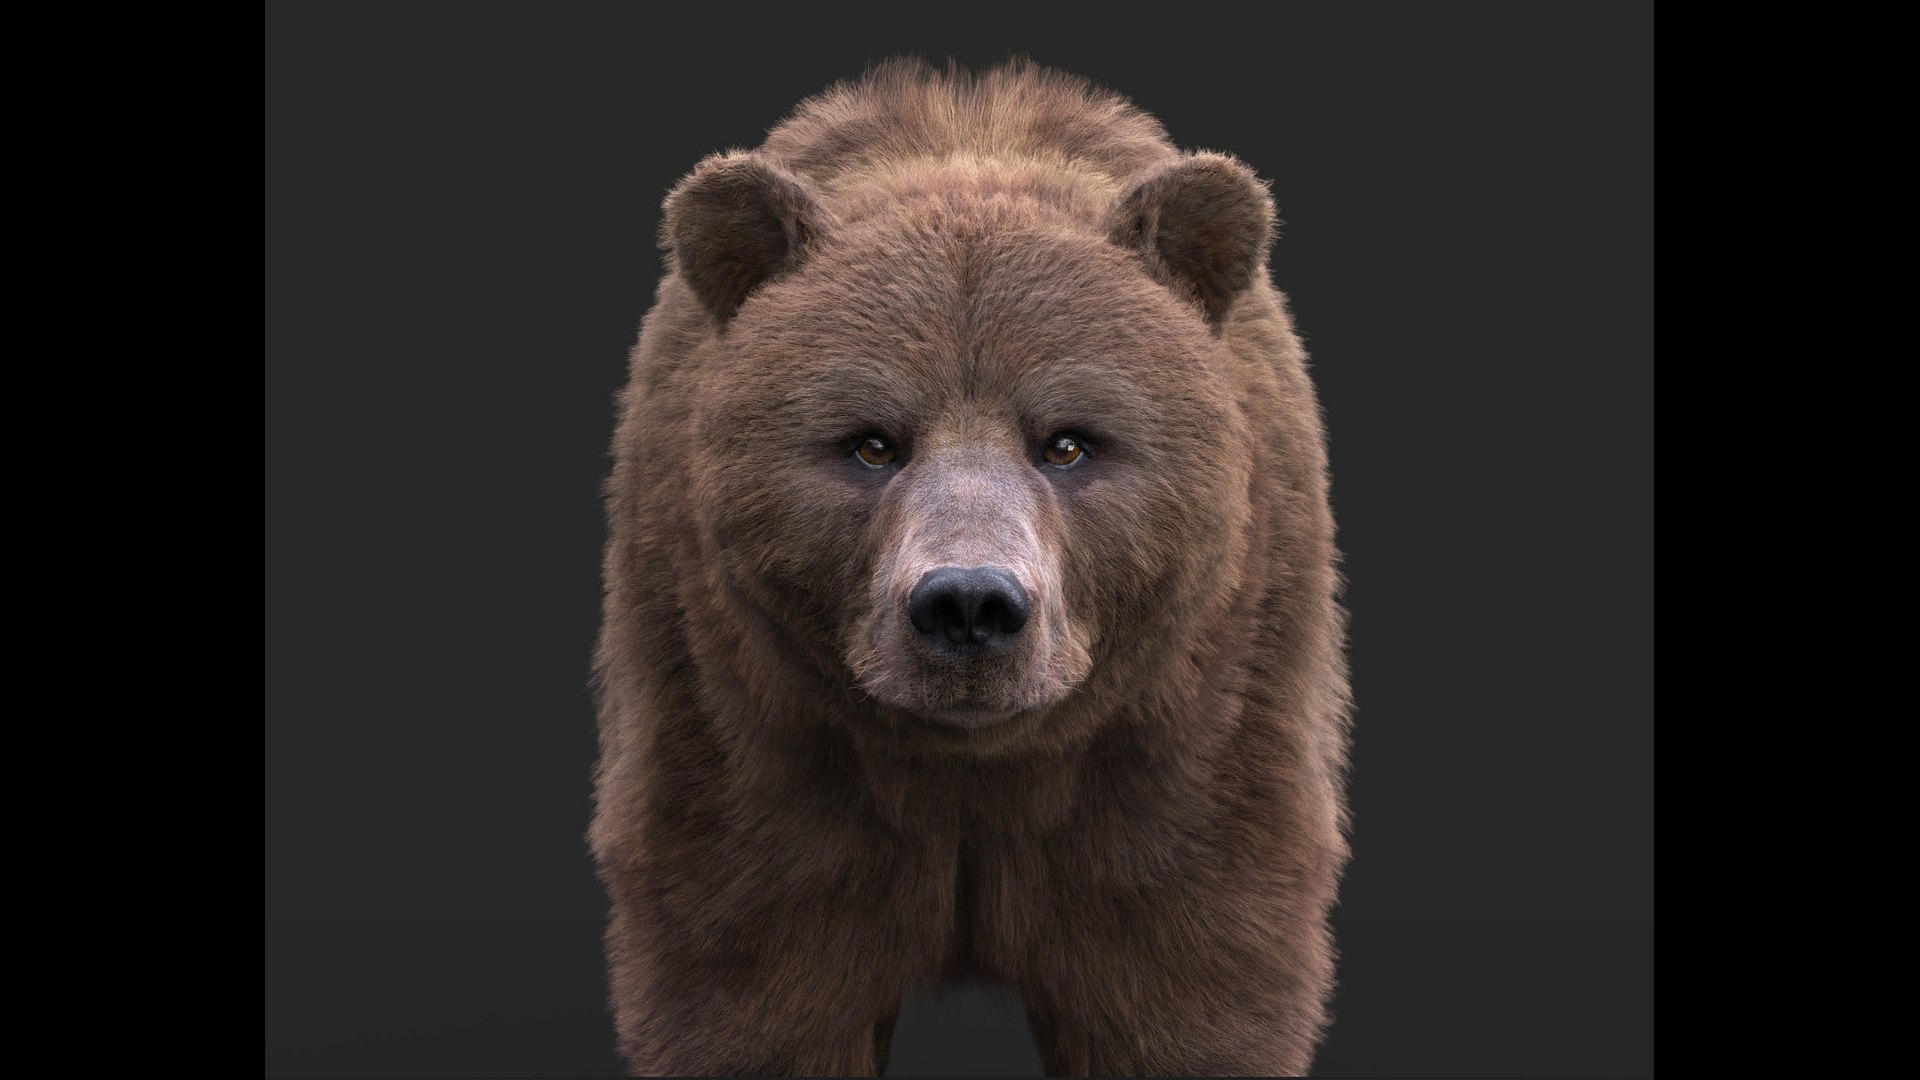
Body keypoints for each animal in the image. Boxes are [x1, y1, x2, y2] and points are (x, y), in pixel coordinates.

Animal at [590, 58, 1350, 1077]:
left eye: (1067, 442)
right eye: (871, 443)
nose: (968, 605)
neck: (976, 771)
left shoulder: (1200, 720)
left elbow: (1185, 966)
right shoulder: (739, 720)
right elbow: (755, 970)